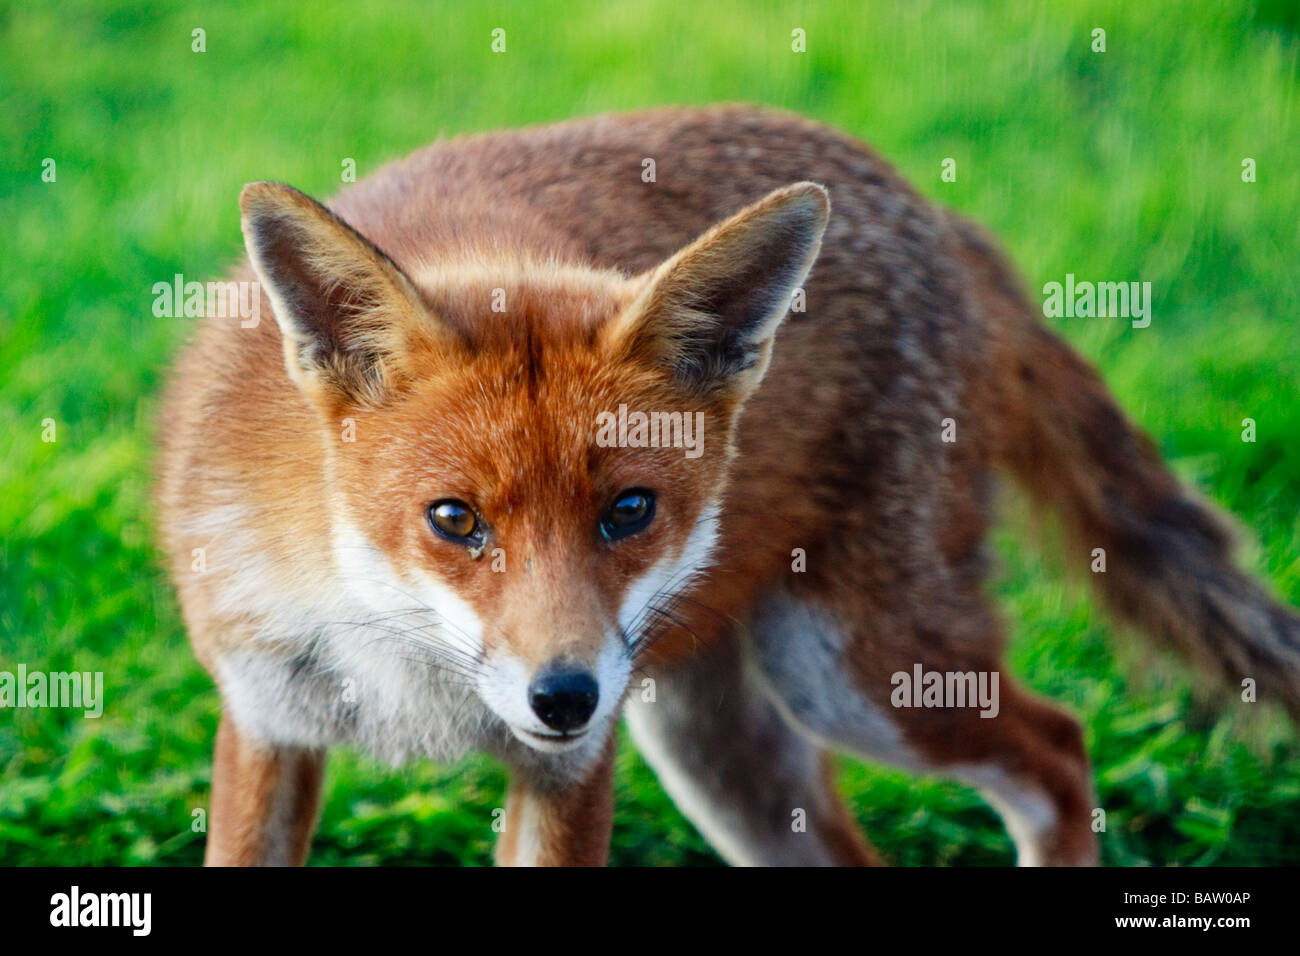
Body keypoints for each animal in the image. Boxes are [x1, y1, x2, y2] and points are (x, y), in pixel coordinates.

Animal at [157, 104, 1300, 866]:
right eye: (454, 519)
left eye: (629, 510)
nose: (564, 696)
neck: (402, 664)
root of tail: (938, 212)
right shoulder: (265, 725)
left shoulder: (570, 771)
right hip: (720, 753)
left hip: (856, 677)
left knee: (1060, 751)